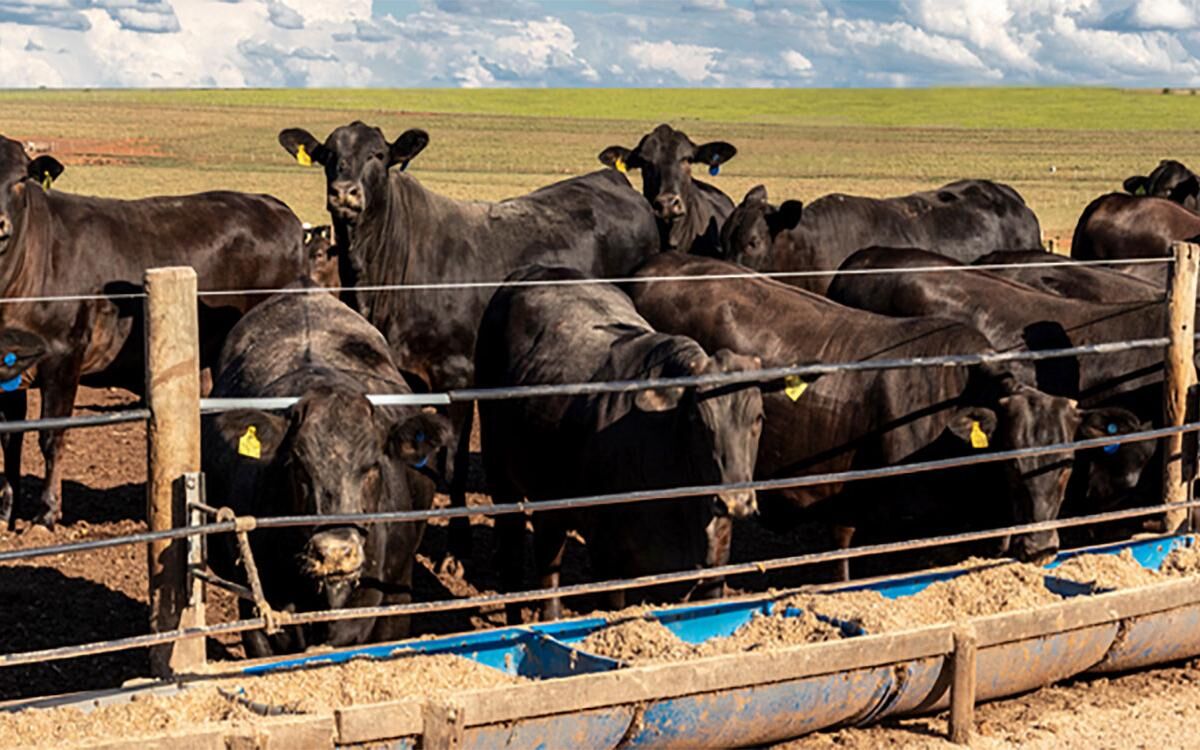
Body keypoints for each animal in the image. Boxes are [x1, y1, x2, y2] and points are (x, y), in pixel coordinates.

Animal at [0, 134, 307, 528]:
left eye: (21, 179)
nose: (0, 225)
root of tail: (273, 206)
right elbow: (10, 441)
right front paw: (7, 511)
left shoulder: (64, 357)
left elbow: (51, 437)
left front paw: (47, 513)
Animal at [277, 121, 659, 572]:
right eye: (328, 155)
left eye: (378, 155)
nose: (344, 192)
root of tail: (611, 179)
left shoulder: (456, 376)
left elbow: (453, 462)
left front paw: (457, 548)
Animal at [477, 265, 763, 620]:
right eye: (697, 420)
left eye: (758, 418)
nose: (736, 501)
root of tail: (535, 270)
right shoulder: (607, 555)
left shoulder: (717, 560)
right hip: (500, 475)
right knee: (513, 558)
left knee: (548, 555)